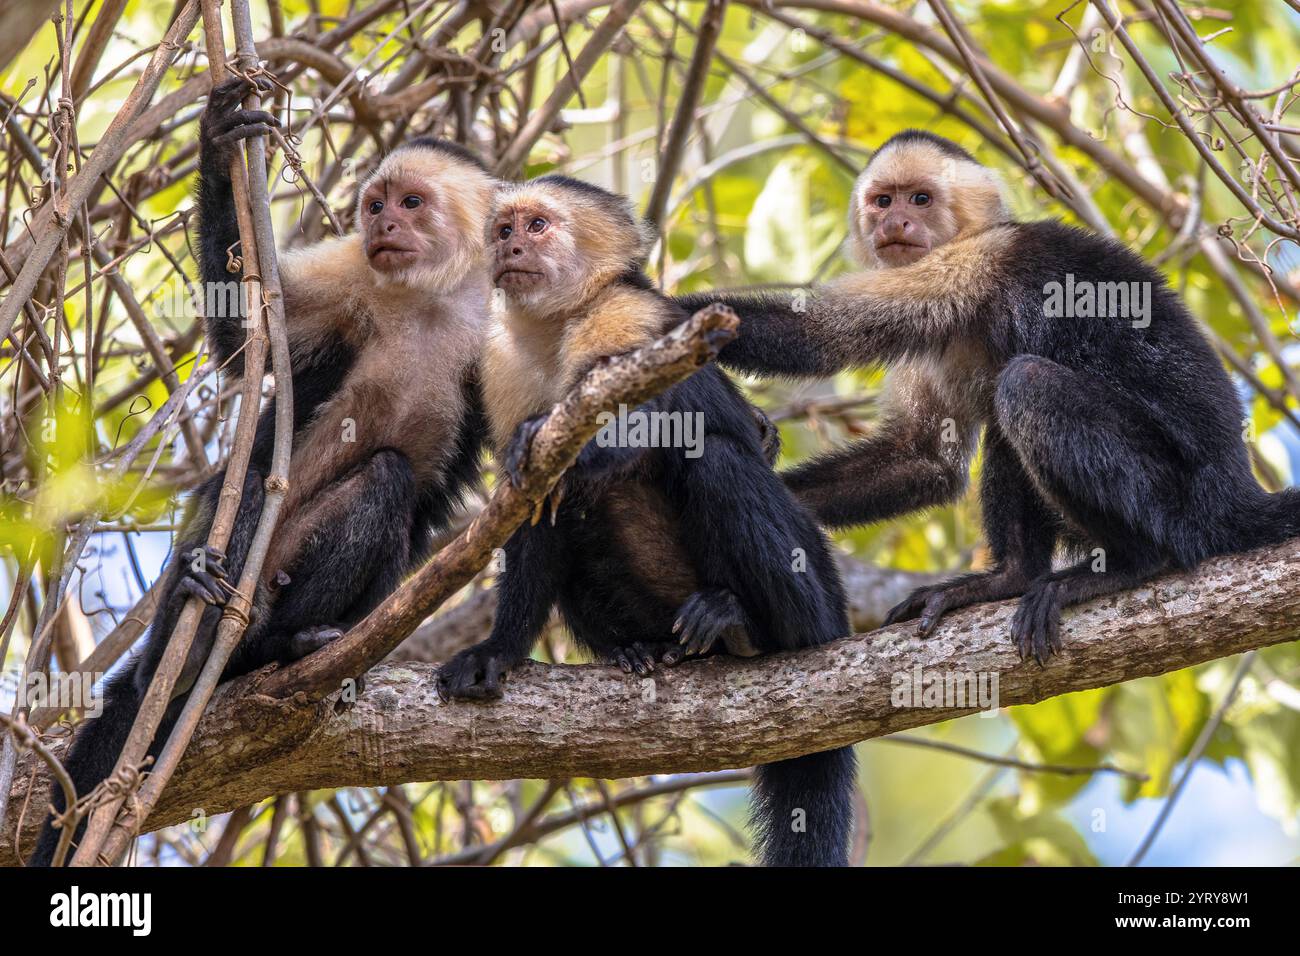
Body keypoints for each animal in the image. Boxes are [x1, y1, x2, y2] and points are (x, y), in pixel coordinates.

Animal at [30, 78, 495, 865]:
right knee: (244, 483)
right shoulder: (354, 271)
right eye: (376, 204)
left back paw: (289, 648)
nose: (383, 225)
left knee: (389, 485)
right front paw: (220, 143)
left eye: (411, 202)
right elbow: (247, 340)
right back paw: (191, 628)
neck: (432, 294)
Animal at [436, 175, 856, 867]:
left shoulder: (629, 313)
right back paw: (640, 648)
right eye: (503, 229)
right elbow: (531, 512)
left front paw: (562, 441)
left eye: (537, 225)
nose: (510, 248)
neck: (558, 323)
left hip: (818, 587)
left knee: (718, 462)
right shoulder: (500, 362)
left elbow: (664, 418)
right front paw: (499, 651)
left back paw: (754, 626)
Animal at [680, 128, 1300, 666]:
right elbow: (922, 457)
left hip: (1178, 497)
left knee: (1025, 385)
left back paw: (1131, 564)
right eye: (882, 201)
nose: (896, 221)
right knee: (1006, 420)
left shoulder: (967, 264)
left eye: (920, 199)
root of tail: (1234, 488)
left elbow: (814, 336)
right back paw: (1012, 578)